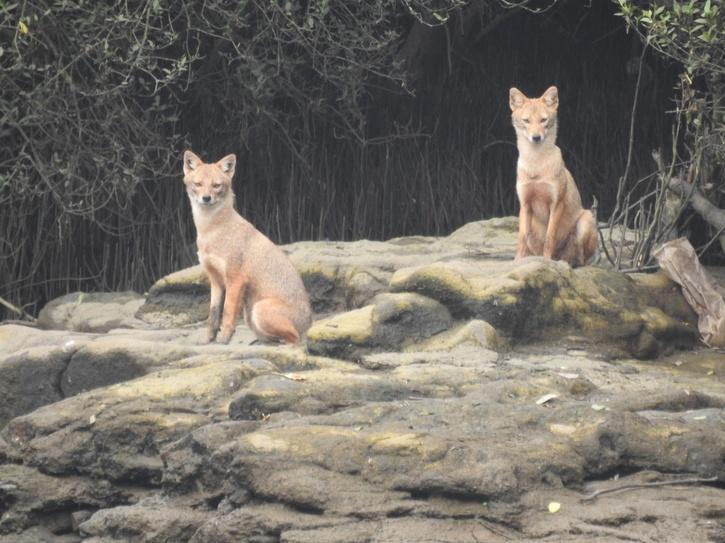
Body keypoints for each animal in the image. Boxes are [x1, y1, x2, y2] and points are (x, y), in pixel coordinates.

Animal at [182, 150, 312, 344]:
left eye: (216, 185)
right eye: (198, 184)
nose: (206, 198)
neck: (211, 231)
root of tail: (310, 326)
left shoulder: (235, 279)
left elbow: (228, 312)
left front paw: (224, 339)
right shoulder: (216, 281)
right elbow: (213, 315)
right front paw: (208, 339)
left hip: (258, 309)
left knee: (293, 339)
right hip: (250, 315)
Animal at [509, 85, 597, 267]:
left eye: (543, 120)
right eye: (526, 121)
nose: (536, 137)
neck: (536, 166)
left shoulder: (556, 204)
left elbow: (550, 237)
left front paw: (546, 262)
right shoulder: (525, 205)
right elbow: (521, 238)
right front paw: (517, 261)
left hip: (586, 219)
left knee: (582, 259)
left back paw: (569, 264)